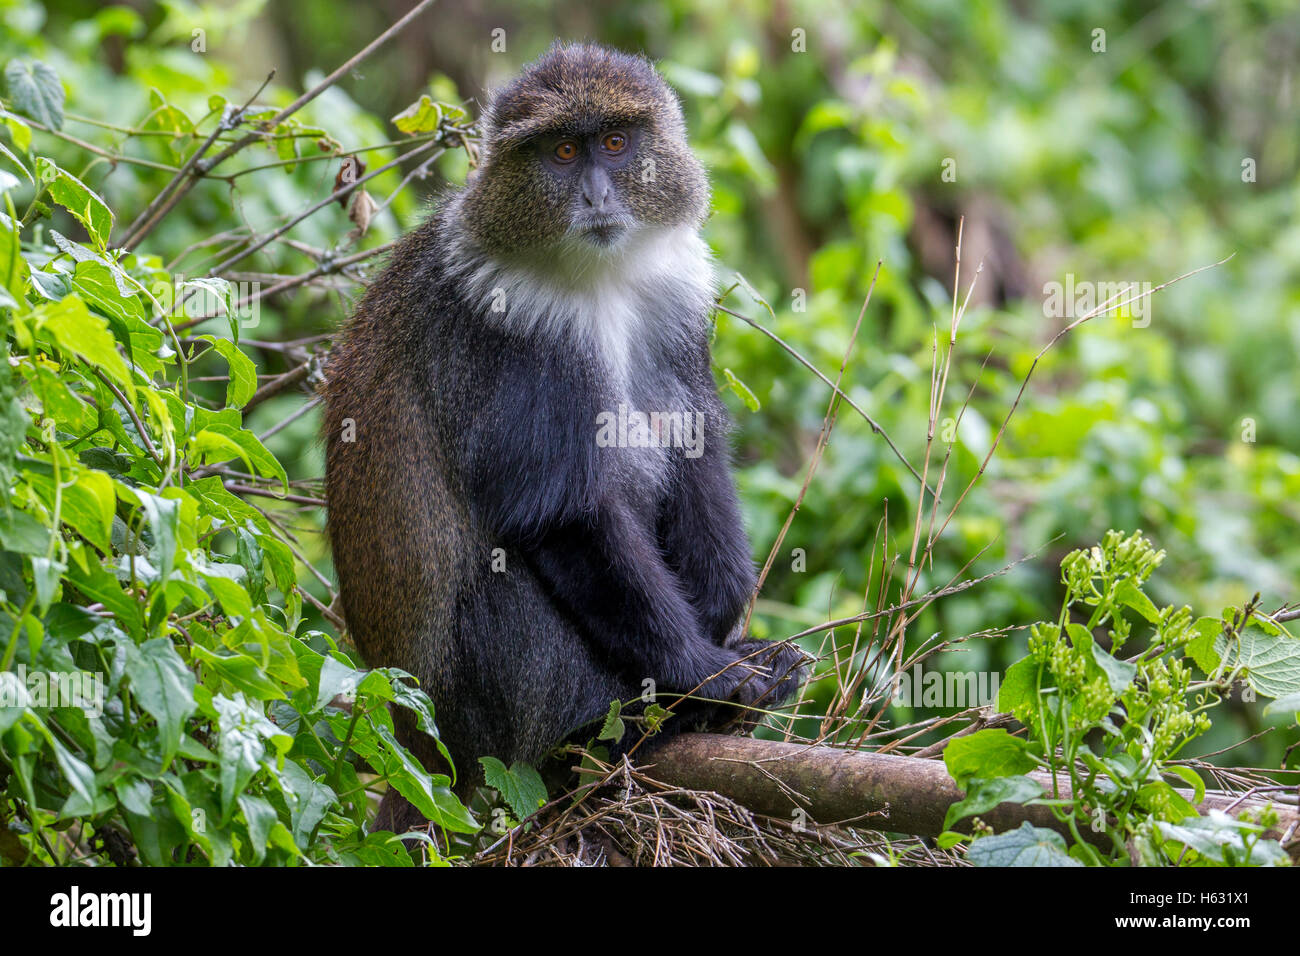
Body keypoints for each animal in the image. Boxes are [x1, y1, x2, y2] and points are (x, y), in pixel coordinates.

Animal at [323, 42, 805, 831]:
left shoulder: (674, 299)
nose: (596, 198)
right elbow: (561, 511)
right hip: (481, 705)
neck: (599, 282)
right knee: (508, 580)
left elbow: (694, 442)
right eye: (562, 152)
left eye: (614, 143)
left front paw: (730, 604)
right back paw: (634, 723)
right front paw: (709, 677)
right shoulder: (505, 332)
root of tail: (417, 752)